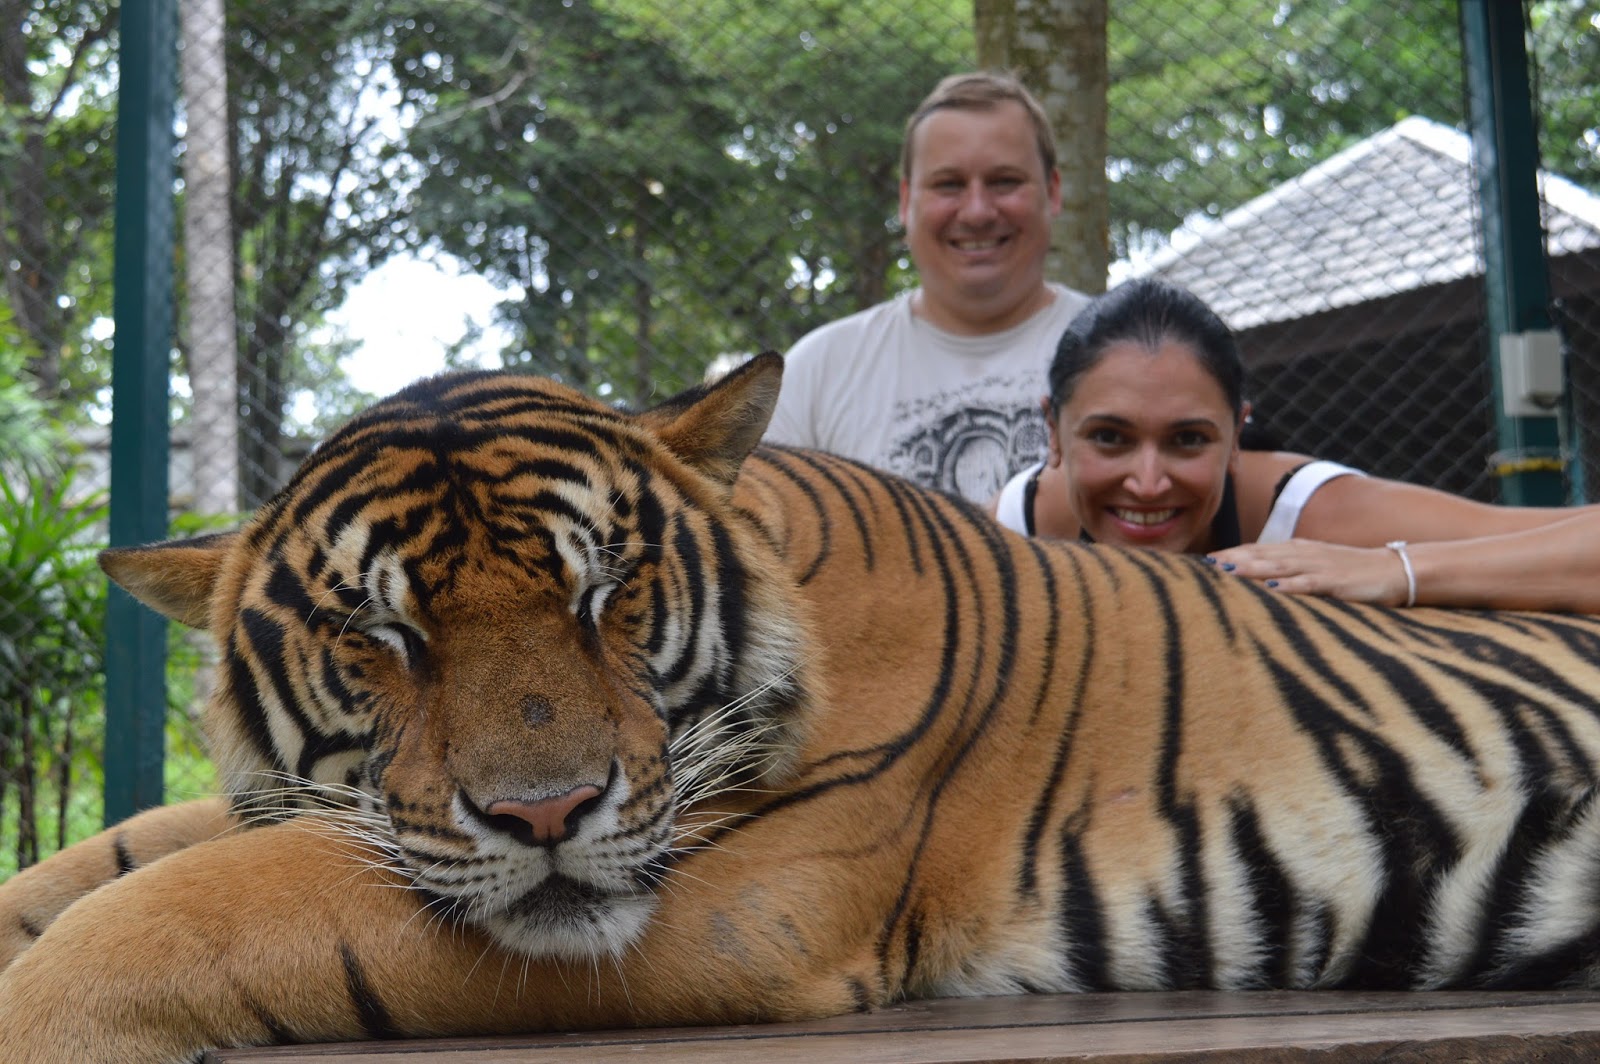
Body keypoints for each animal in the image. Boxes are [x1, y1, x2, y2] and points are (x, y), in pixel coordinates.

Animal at [6, 351, 1600, 1063]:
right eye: (378, 635)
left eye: (605, 596)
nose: (546, 813)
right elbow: (118, 859)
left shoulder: (727, 889)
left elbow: (185, 910)